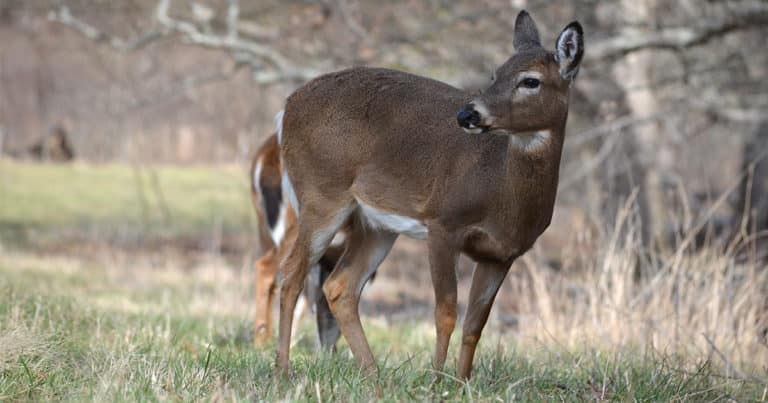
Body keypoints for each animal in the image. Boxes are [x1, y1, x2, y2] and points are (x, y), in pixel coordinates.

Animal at [274, 10, 584, 380]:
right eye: (495, 73)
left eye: (531, 81)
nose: (468, 114)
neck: (500, 192)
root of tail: (286, 107)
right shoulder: (443, 223)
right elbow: (445, 313)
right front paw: (437, 381)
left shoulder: (501, 254)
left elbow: (475, 324)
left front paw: (462, 381)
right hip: (321, 195)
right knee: (290, 274)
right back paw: (283, 372)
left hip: (375, 224)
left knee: (339, 286)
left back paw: (373, 374)